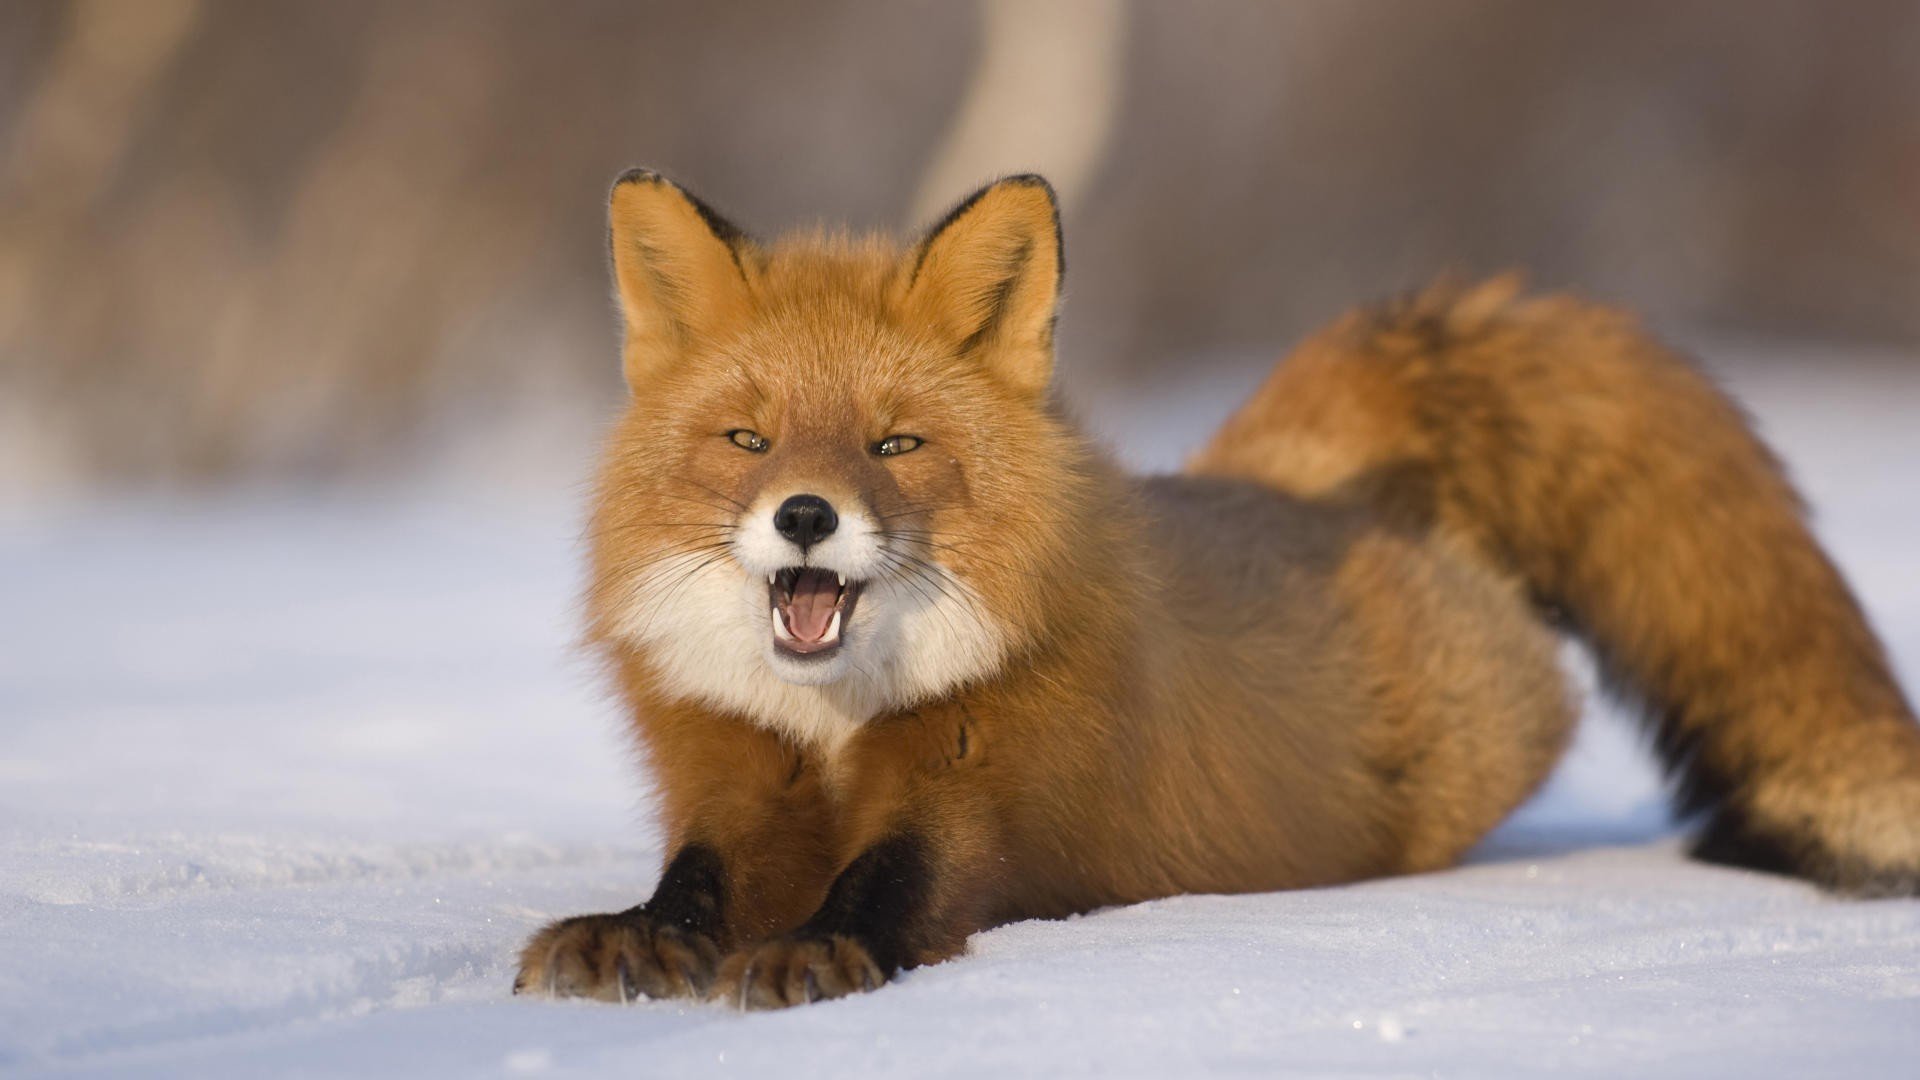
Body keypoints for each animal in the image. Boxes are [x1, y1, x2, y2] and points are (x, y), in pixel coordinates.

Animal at [514, 170, 1920, 1009]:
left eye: (895, 444)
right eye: (749, 442)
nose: (805, 515)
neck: (832, 718)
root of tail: (1295, 483)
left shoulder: (982, 787)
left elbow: (894, 884)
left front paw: (819, 946)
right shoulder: (731, 773)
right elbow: (697, 877)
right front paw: (634, 932)